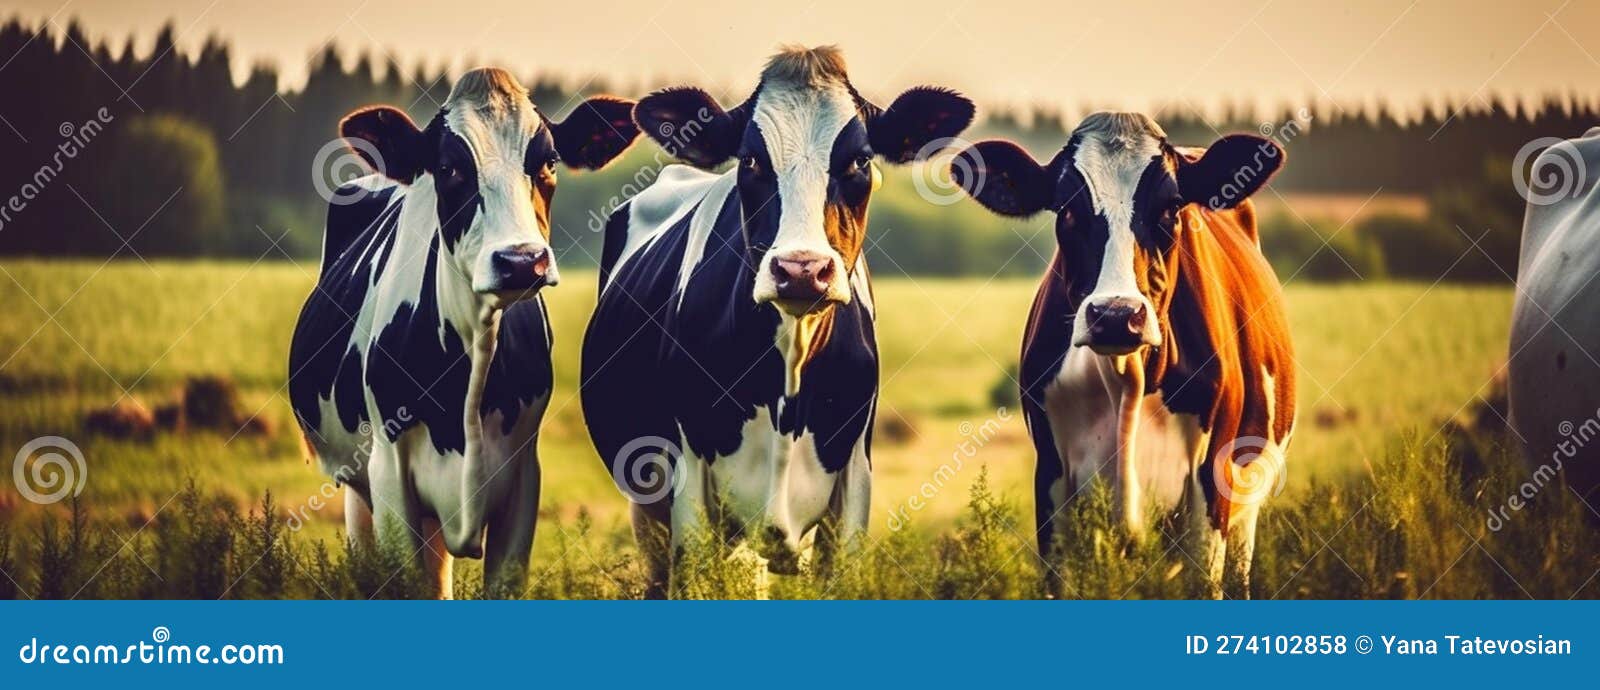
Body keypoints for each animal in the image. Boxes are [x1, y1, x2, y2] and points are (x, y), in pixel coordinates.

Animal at [287, 68, 638, 597]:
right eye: (449, 167)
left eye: (549, 161)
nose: (521, 260)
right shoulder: (389, 478)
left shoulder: (523, 477)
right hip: (359, 485)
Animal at [580, 45, 973, 596]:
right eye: (751, 159)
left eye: (860, 159)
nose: (800, 269)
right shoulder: (689, 488)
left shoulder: (854, 485)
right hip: (650, 504)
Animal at [952, 112, 1295, 598]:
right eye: (1067, 209)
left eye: (1170, 208)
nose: (1116, 315)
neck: (1125, 378)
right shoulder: (1052, 475)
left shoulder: (1210, 481)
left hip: (1248, 495)